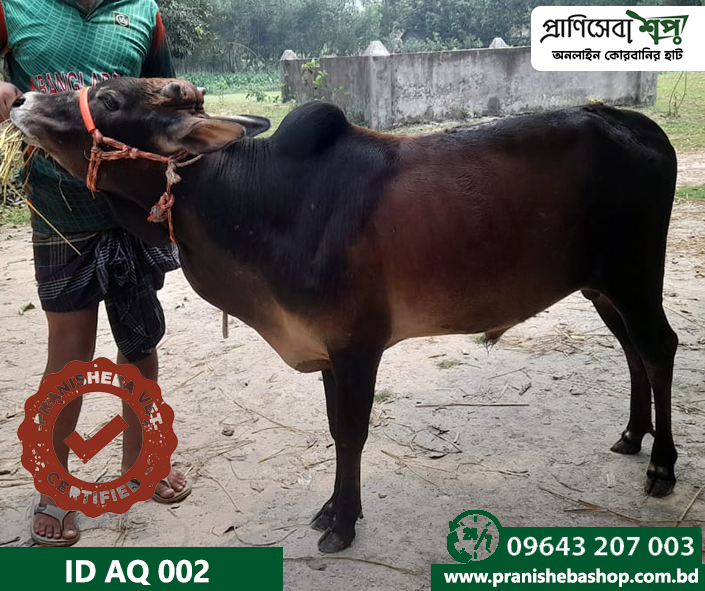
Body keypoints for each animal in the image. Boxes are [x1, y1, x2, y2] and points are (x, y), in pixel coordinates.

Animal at [10, 78, 679, 553]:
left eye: (108, 98)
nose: (21, 98)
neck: (261, 203)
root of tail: (634, 122)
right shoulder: (328, 349)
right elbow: (336, 430)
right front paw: (332, 508)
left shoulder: (358, 346)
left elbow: (353, 432)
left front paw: (345, 524)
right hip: (601, 287)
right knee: (632, 350)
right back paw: (631, 437)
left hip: (634, 277)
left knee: (659, 348)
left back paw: (662, 466)